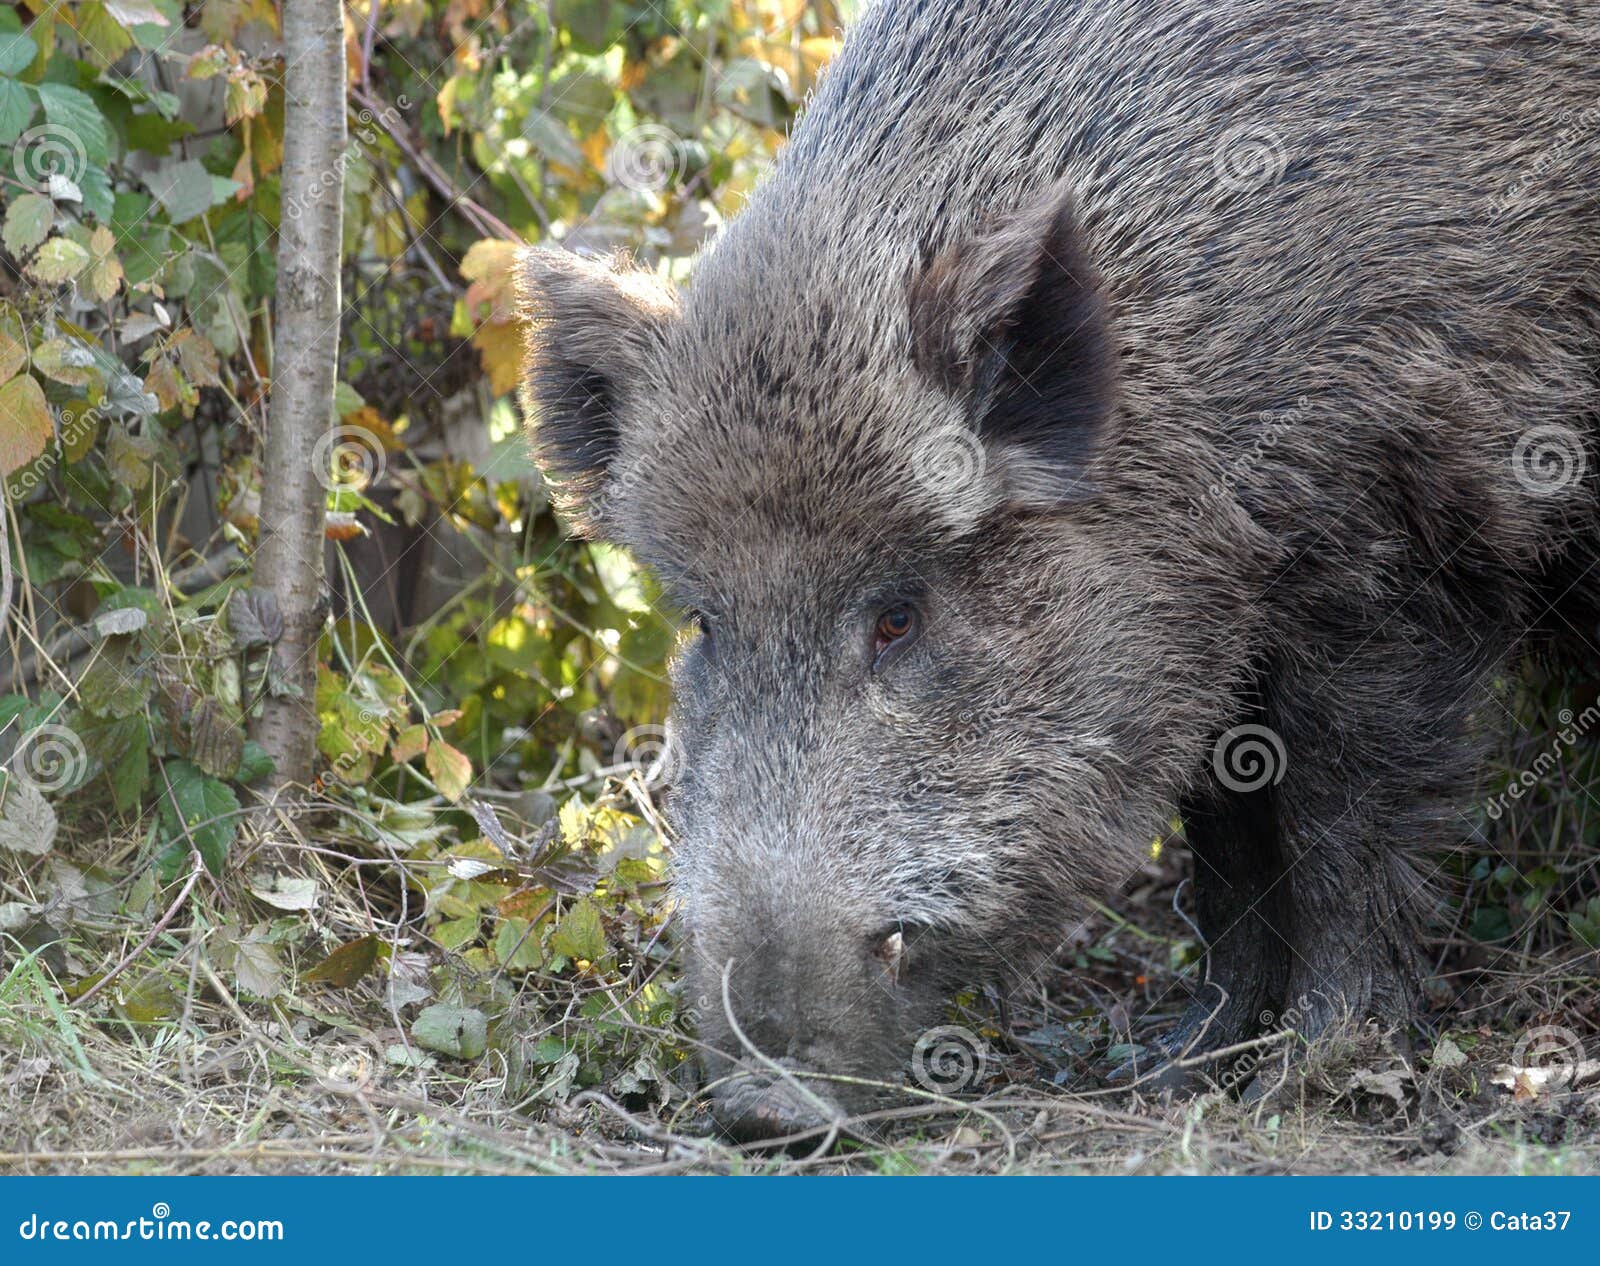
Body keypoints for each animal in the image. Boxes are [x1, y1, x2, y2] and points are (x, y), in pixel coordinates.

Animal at [519, 0, 1600, 1138]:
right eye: (704, 622)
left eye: (899, 615)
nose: (762, 1104)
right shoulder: (1208, 649)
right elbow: (1229, 850)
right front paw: (1174, 1073)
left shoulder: (1389, 546)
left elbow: (1341, 825)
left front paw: (1302, 1079)